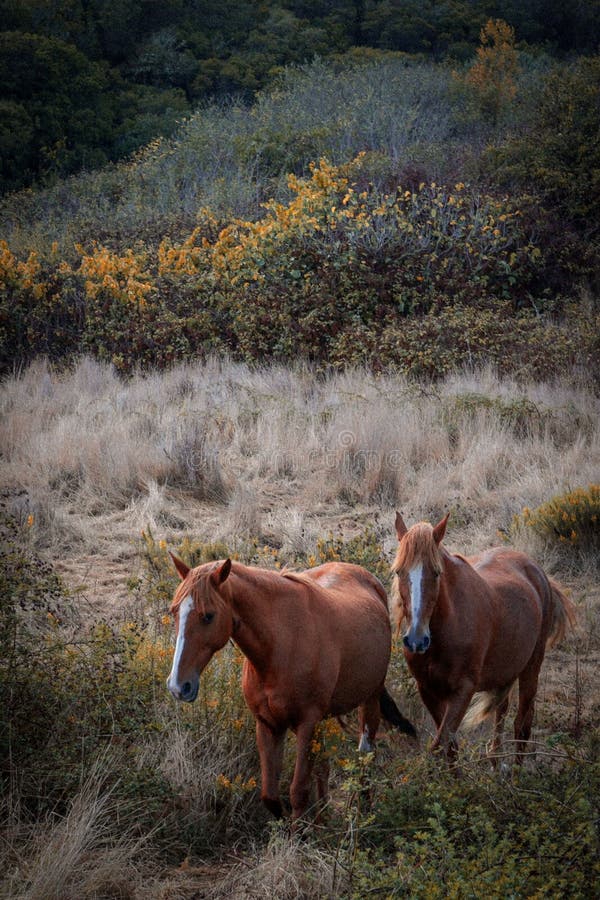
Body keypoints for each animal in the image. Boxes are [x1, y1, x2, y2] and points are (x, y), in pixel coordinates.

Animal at [166, 555, 416, 822]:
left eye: (208, 616)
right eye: (174, 611)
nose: (178, 686)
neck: (281, 645)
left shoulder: (306, 723)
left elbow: (298, 791)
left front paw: (298, 831)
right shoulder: (268, 724)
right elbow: (270, 795)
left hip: (370, 700)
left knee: (365, 755)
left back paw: (363, 811)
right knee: (323, 766)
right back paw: (322, 817)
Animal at [391, 512, 576, 764]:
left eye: (436, 573)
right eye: (399, 571)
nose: (416, 640)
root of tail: (538, 573)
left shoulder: (463, 690)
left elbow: (441, 743)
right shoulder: (427, 690)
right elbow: (449, 746)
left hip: (531, 667)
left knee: (522, 725)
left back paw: (516, 772)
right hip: (505, 672)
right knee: (501, 713)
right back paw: (496, 763)